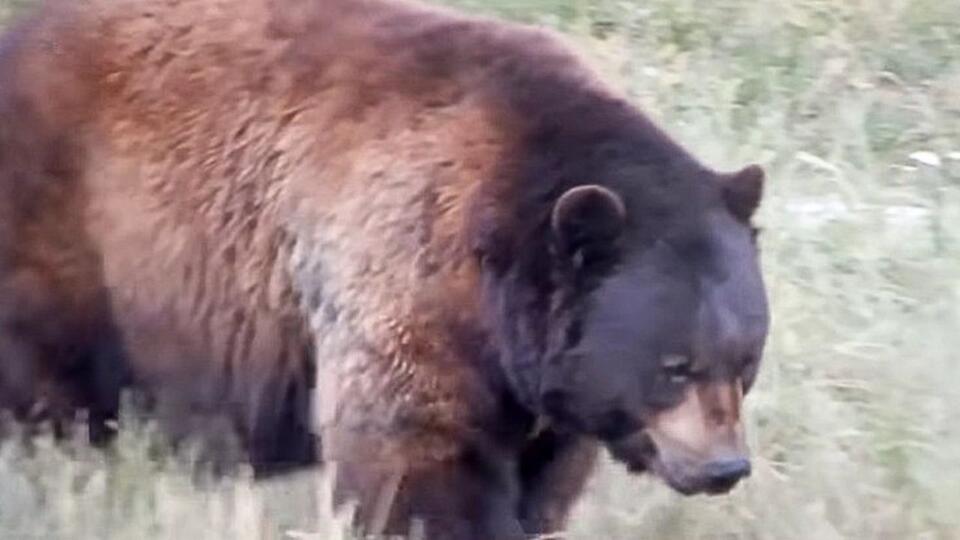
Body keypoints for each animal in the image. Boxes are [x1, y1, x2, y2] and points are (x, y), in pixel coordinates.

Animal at [0, 0, 770, 538]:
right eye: (675, 365)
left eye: (745, 361)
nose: (724, 467)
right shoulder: (411, 267)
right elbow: (416, 457)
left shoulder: (546, 391)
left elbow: (545, 478)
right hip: (74, 240)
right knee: (54, 394)